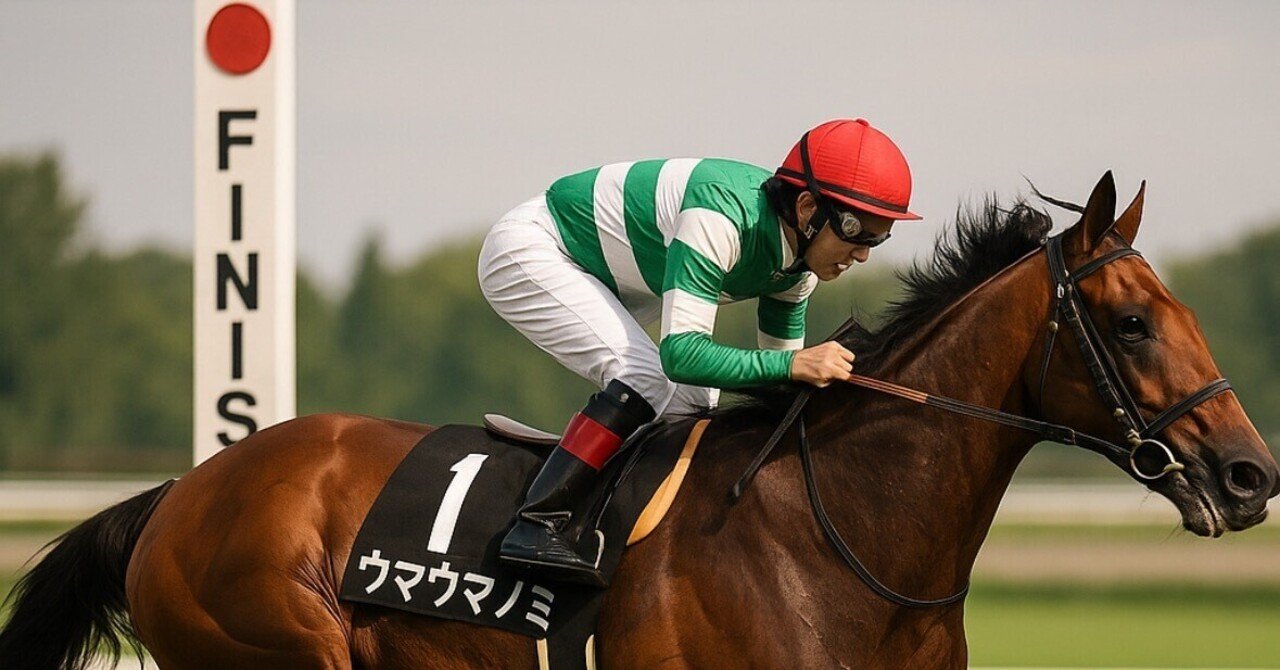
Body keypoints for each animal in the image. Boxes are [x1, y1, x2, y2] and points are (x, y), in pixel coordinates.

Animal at [2, 172, 1276, 669]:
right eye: (1128, 322)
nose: (1249, 472)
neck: (838, 541)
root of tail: (181, 492)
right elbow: (663, 354)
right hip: (274, 640)